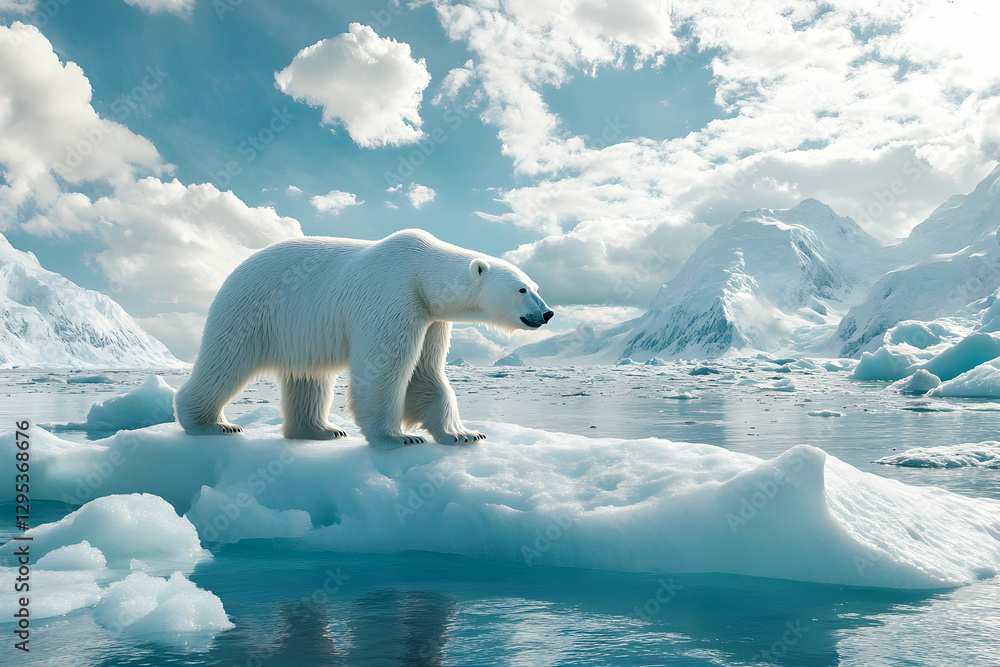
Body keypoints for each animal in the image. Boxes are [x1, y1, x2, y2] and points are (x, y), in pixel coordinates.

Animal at [174, 229, 553, 449]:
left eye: (536, 286)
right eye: (521, 289)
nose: (547, 313)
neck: (421, 271)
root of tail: (237, 268)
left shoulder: (430, 317)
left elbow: (427, 373)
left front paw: (463, 433)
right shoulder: (392, 298)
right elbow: (385, 369)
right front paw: (399, 436)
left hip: (300, 330)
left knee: (309, 376)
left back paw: (321, 430)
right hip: (253, 310)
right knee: (226, 361)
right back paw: (212, 424)